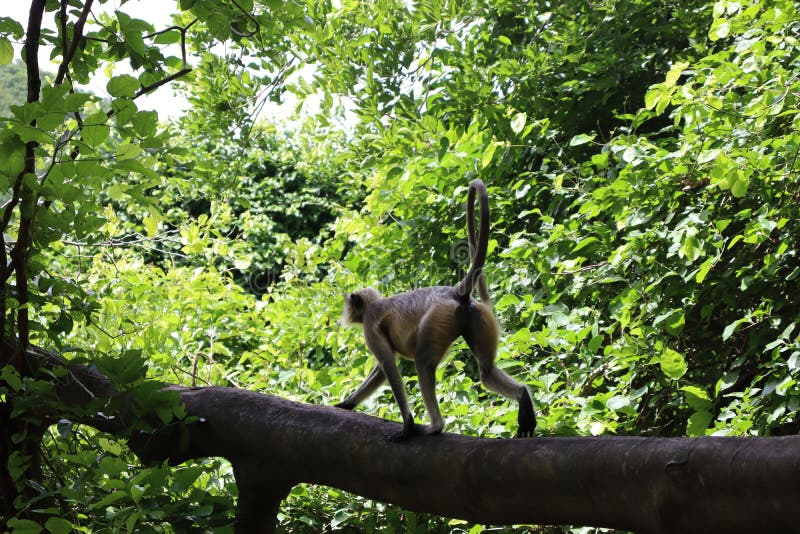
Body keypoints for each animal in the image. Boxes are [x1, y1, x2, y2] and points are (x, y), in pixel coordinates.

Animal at [336, 179, 536, 441]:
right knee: (486, 371)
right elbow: (381, 370)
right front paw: (347, 404)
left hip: (438, 319)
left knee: (423, 363)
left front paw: (407, 424)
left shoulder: (369, 323)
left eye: (349, 305)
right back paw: (522, 396)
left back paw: (435, 426)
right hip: (476, 317)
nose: (345, 314)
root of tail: (455, 293)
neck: (375, 304)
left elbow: (388, 366)